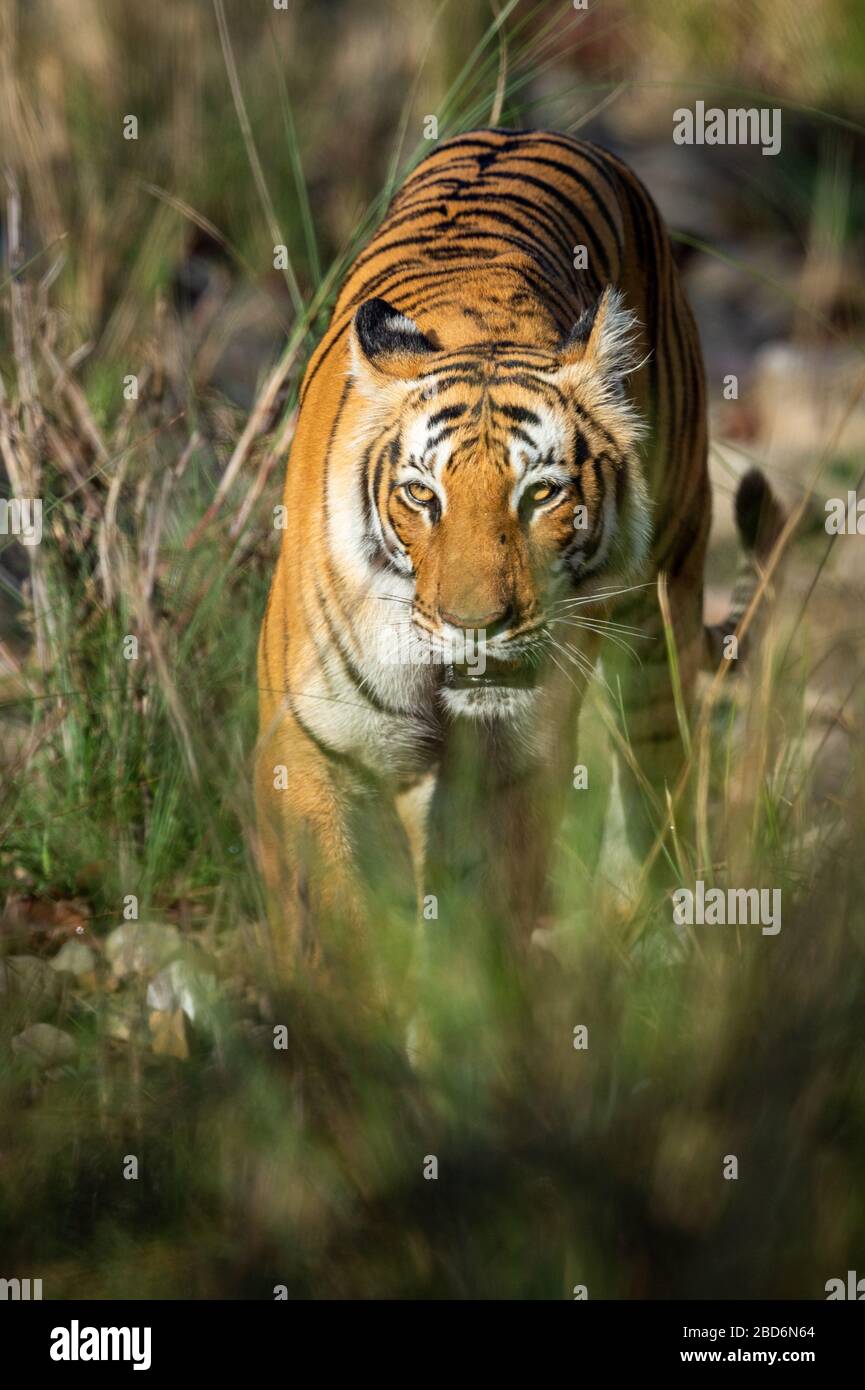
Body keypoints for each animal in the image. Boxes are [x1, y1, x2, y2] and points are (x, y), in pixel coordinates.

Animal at [255, 127, 780, 975]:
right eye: (421, 497)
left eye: (540, 494)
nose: (475, 626)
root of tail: (526, 130)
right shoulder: (314, 750)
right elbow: (342, 920)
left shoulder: (516, 763)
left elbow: (480, 917)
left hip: (662, 605)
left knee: (653, 769)